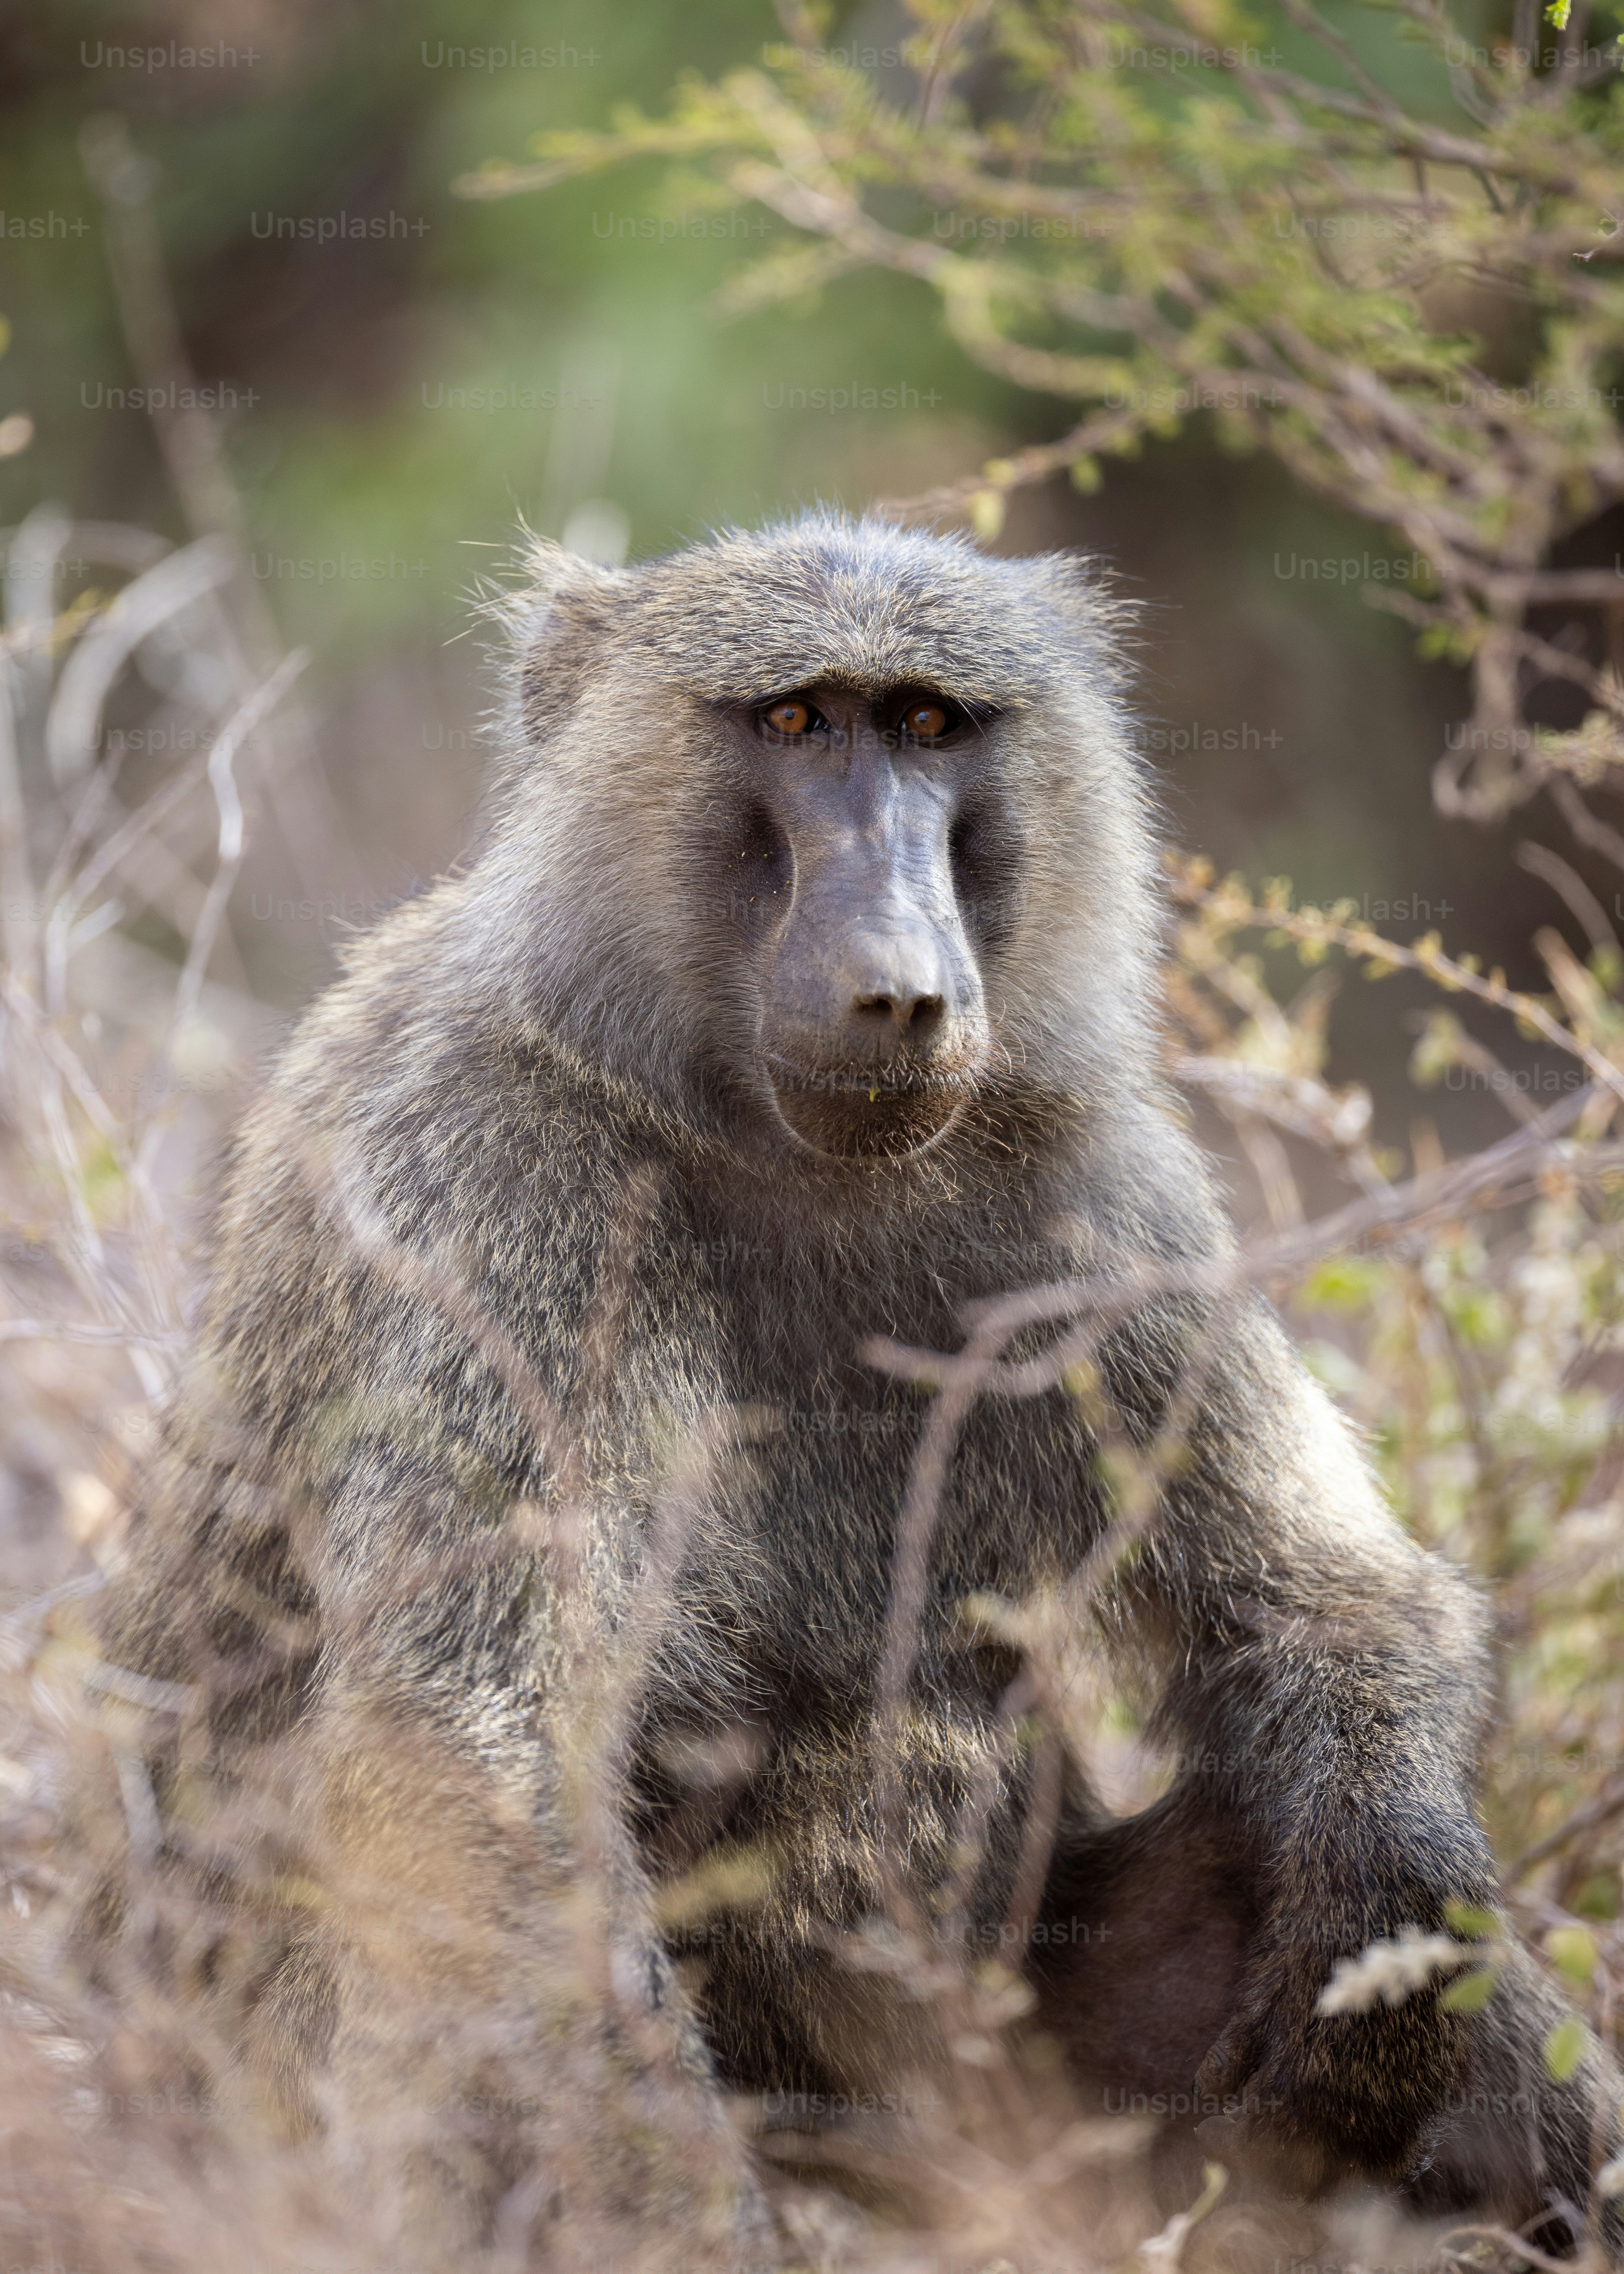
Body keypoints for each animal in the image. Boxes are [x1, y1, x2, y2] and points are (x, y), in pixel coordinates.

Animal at [81, 512, 1620, 2262]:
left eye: (932, 724)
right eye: (799, 720)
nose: (901, 984)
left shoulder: (1093, 1190)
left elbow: (1320, 1601)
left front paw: (1393, 1970)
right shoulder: (485, 1179)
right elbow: (477, 1765)